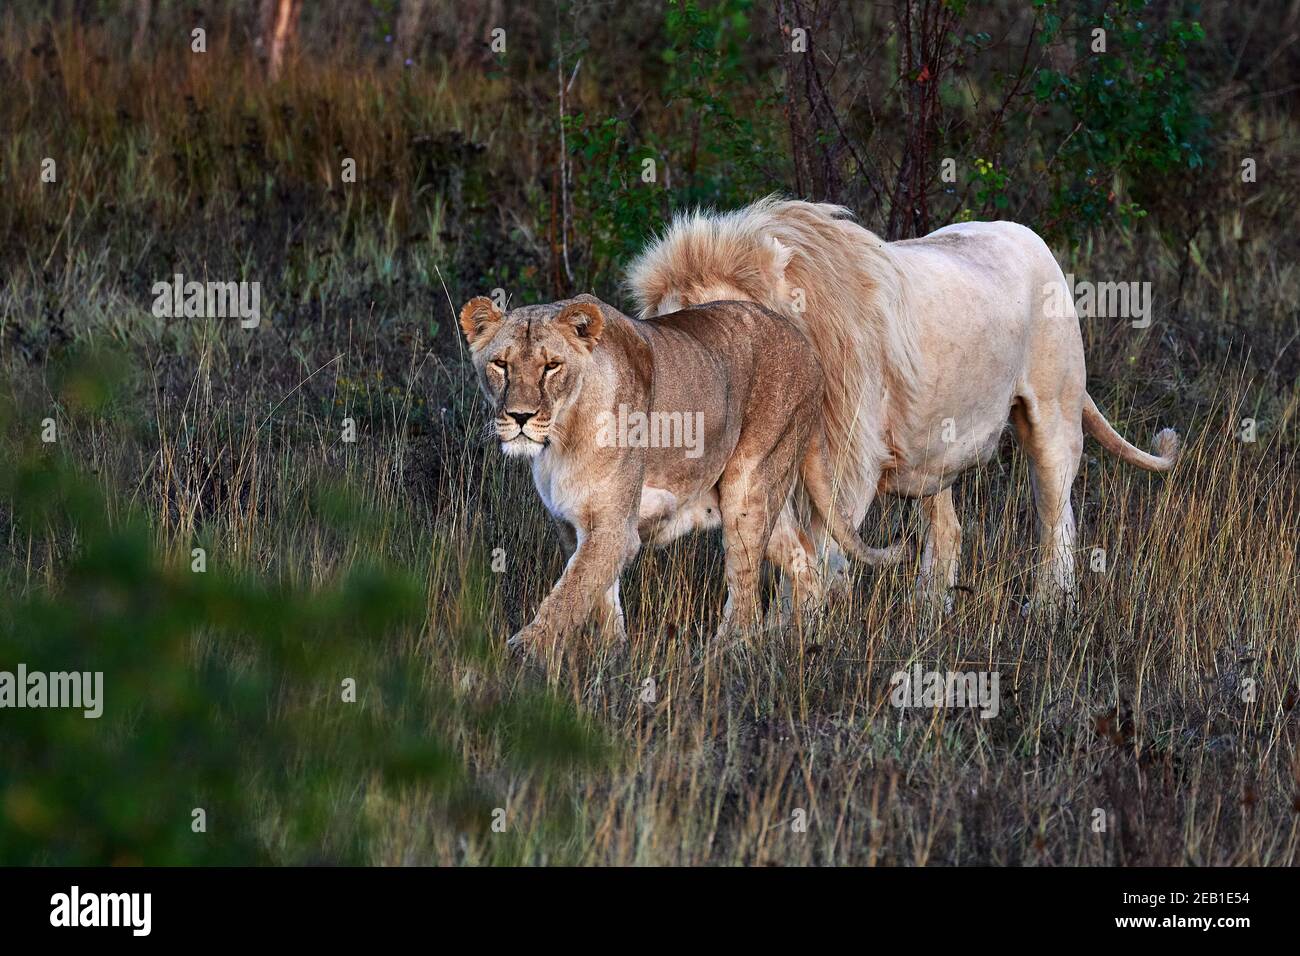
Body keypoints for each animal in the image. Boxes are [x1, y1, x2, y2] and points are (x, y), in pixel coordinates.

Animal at [458, 292, 901, 651]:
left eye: (552, 366)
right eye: (500, 364)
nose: (519, 416)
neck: (561, 440)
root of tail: (803, 341)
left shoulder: (614, 528)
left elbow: (568, 595)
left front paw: (522, 652)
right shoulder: (573, 526)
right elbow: (598, 598)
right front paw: (612, 652)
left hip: (749, 486)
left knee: (745, 594)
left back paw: (725, 653)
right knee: (802, 555)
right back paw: (800, 636)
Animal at [627, 197, 1179, 614]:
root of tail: (1024, 232)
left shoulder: (845, 465)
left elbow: (815, 550)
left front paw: (796, 633)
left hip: (1054, 412)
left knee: (1055, 515)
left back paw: (1049, 606)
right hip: (937, 445)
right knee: (949, 529)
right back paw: (929, 609)